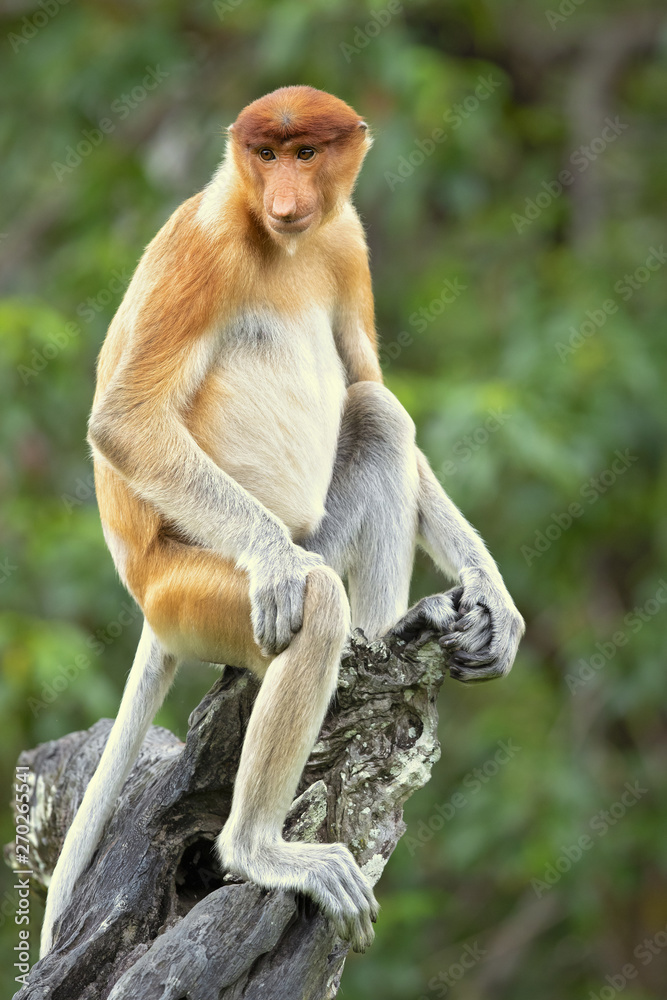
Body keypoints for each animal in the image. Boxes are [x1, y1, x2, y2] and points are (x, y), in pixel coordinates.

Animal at [40, 85, 524, 958]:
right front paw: (277, 567)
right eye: (265, 155)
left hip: (305, 532)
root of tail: (148, 600)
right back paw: (259, 849)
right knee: (314, 600)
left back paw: (394, 632)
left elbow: (366, 375)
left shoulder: (346, 242)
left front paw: (491, 602)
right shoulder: (203, 247)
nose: (285, 200)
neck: (282, 244)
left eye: (305, 154)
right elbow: (124, 422)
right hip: (193, 597)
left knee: (378, 415)